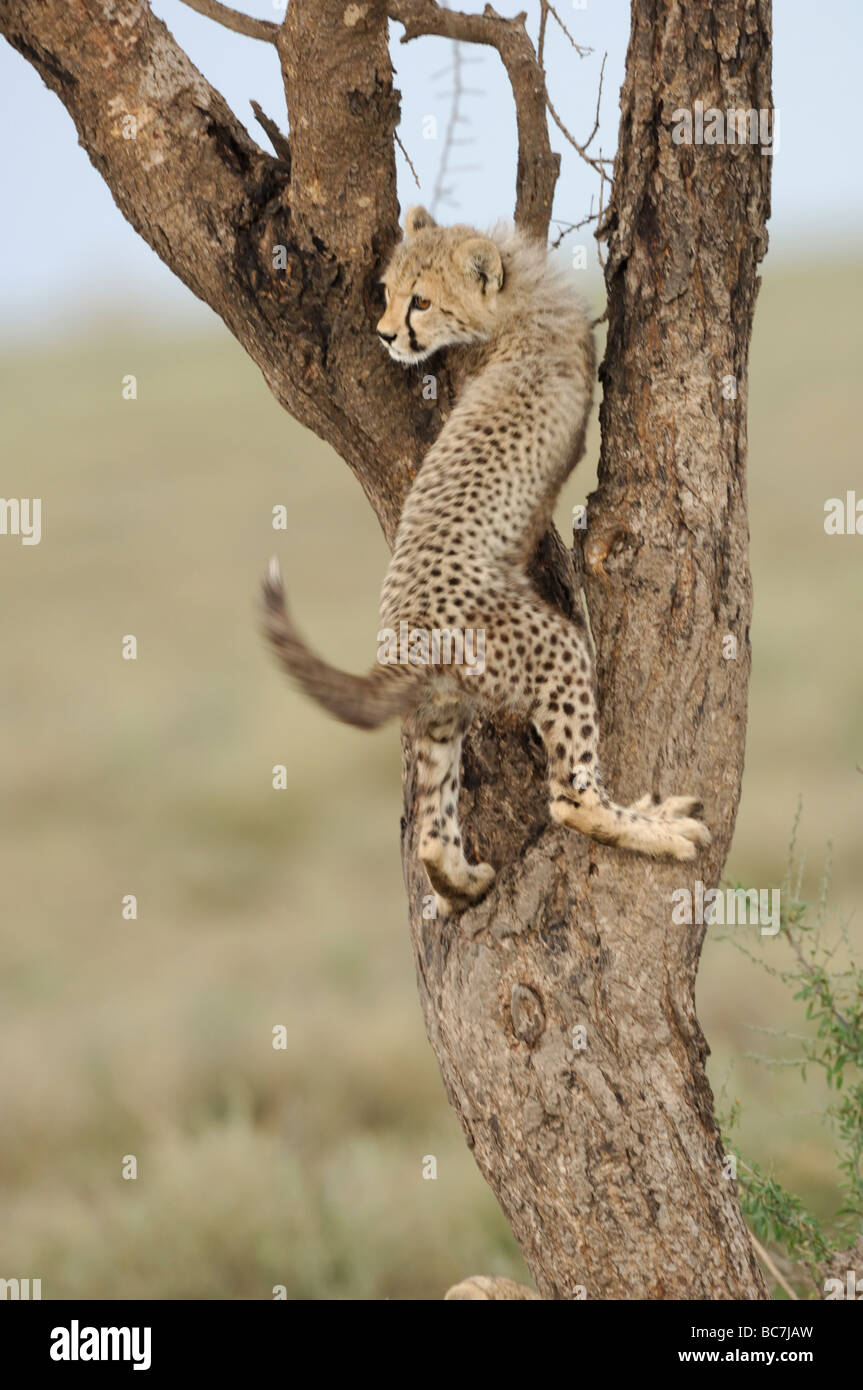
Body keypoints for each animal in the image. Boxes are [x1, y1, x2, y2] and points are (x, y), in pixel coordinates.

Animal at [262, 205, 710, 913]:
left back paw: (463, 881)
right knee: (571, 799)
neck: (515, 301)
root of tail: (405, 630)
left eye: (417, 300)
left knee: (430, 834)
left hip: (443, 709)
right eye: (388, 292)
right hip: (550, 649)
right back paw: (661, 830)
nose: (384, 334)